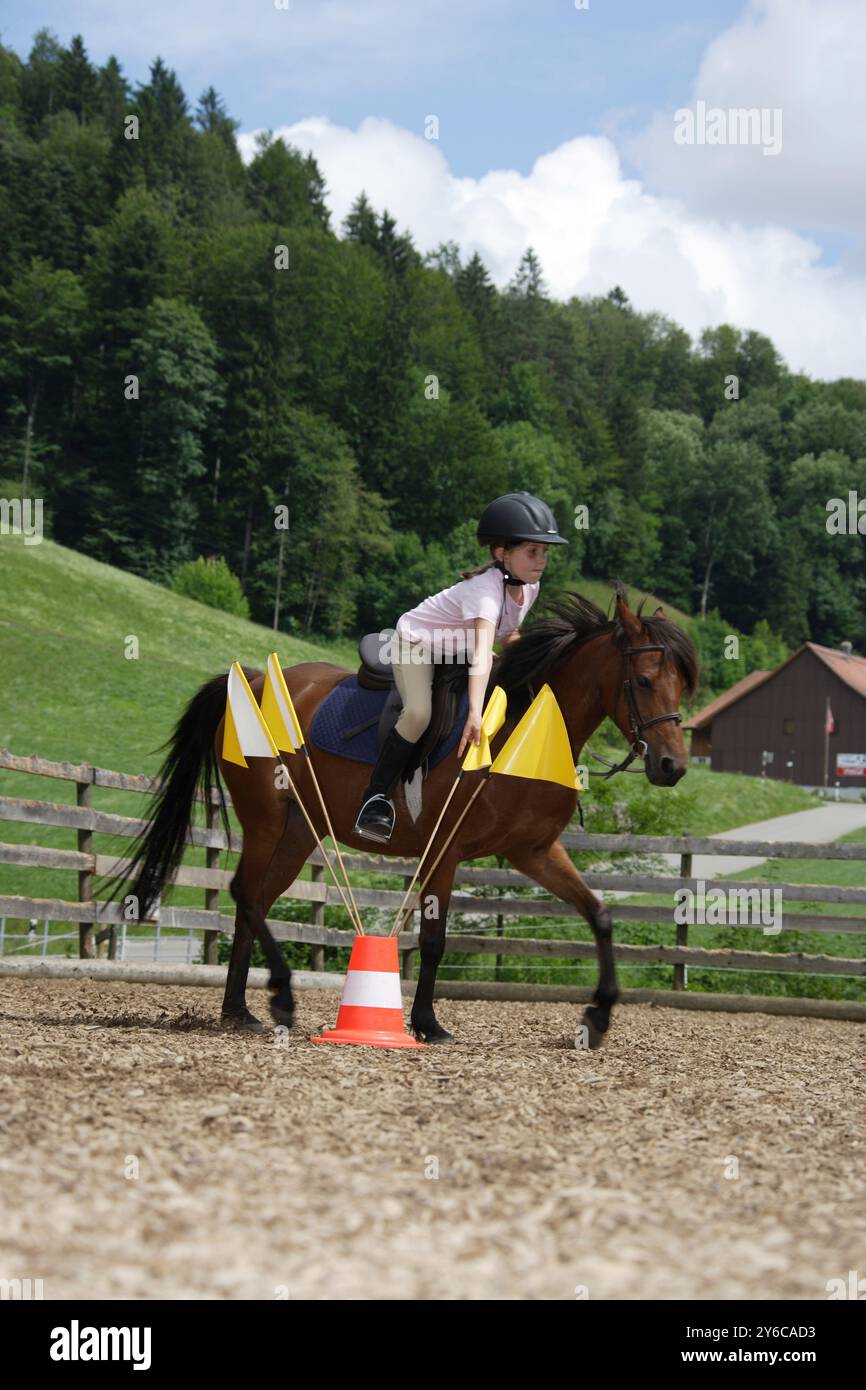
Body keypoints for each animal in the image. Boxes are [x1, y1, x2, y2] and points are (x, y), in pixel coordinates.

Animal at [113, 586, 698, 1048]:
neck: (525, 728)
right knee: (246, 895)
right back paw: (276, 1000)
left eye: (680, 684)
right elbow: (435, 939)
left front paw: (599, 1015)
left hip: (300, 830)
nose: (672, 766)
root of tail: (255, 679)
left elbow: (600, 915)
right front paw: (427, 1024)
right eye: (644, 680)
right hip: (267, 819)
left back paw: (242, 1009)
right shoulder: (446, 849)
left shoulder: (533, 852)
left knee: (255, 898)